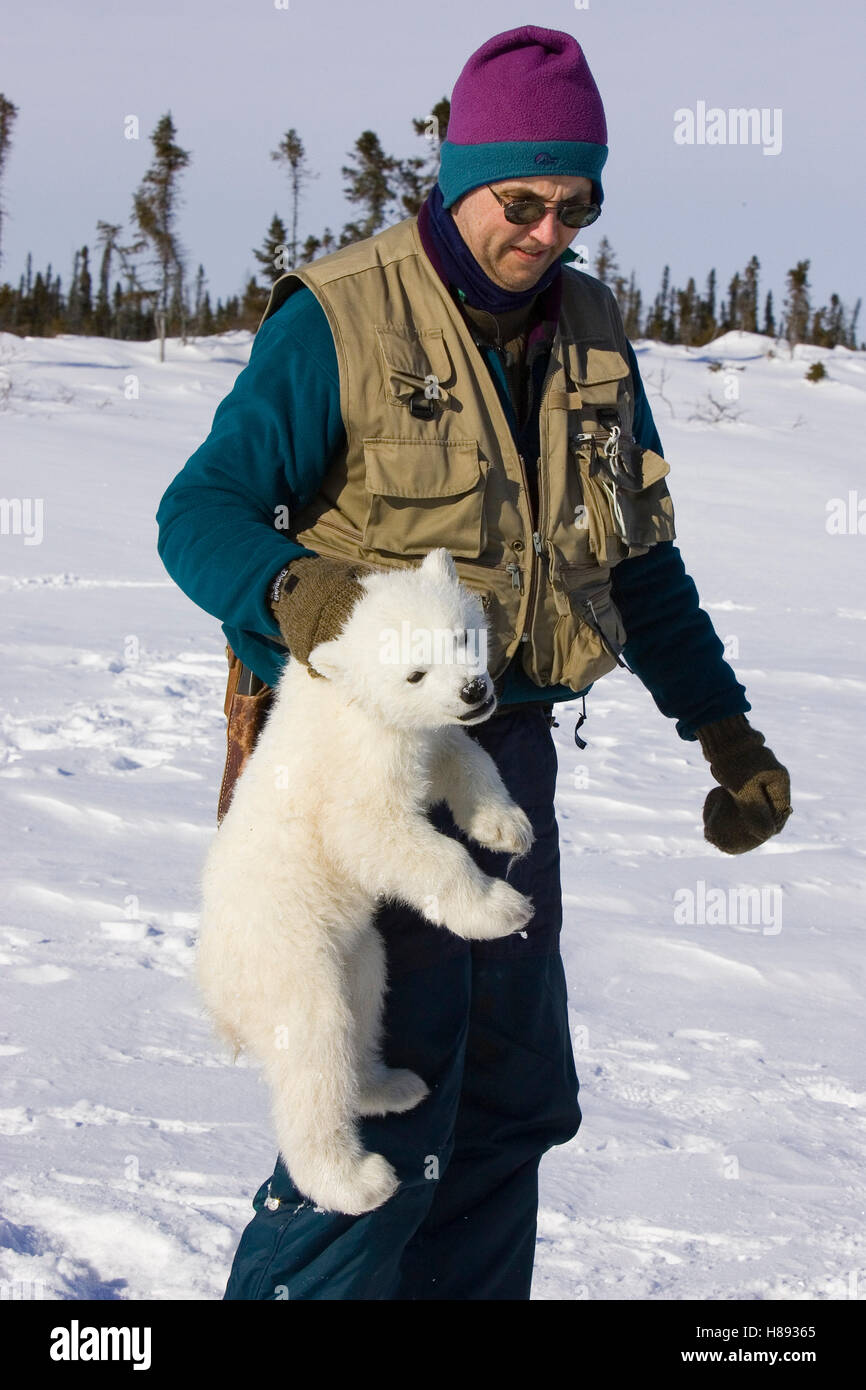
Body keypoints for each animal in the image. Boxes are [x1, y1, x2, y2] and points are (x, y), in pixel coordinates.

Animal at [196, 548, 536, 1215]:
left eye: (462, 636)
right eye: (414, 673)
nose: (474, 689)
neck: (342, 695)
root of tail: (217, 996)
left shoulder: (419, 736)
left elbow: (459, 754)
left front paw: (506, 826)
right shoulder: (353, 767)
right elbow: (375, 834)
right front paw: (501, 909)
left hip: (351, 948)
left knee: (366, 996)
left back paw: (391, 1085)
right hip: (288, 957)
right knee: (315, 1047)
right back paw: (356, 1179)